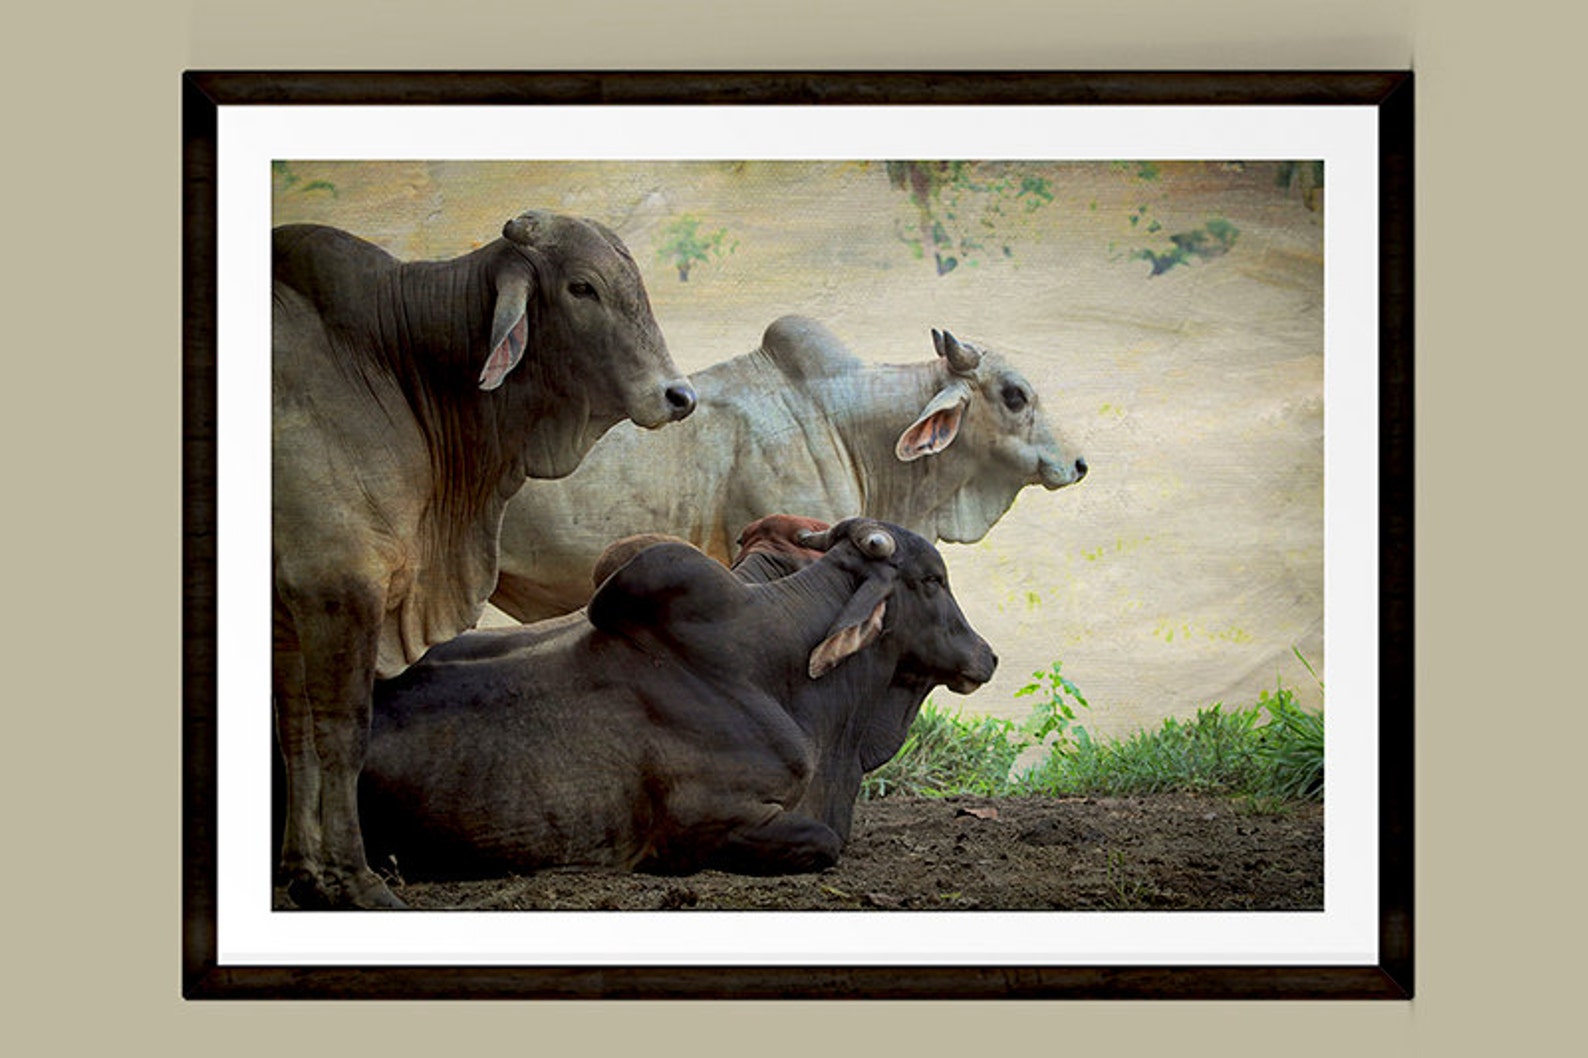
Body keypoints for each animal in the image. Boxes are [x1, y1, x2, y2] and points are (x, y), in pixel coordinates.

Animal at [272, 211, 696, 909]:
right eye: (582, 287)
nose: (678, 395)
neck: (392, 361)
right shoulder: (335, 587)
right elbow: (340, 731)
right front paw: (351, 879)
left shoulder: (287, 612)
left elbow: (296, 733)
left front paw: (304, 872)